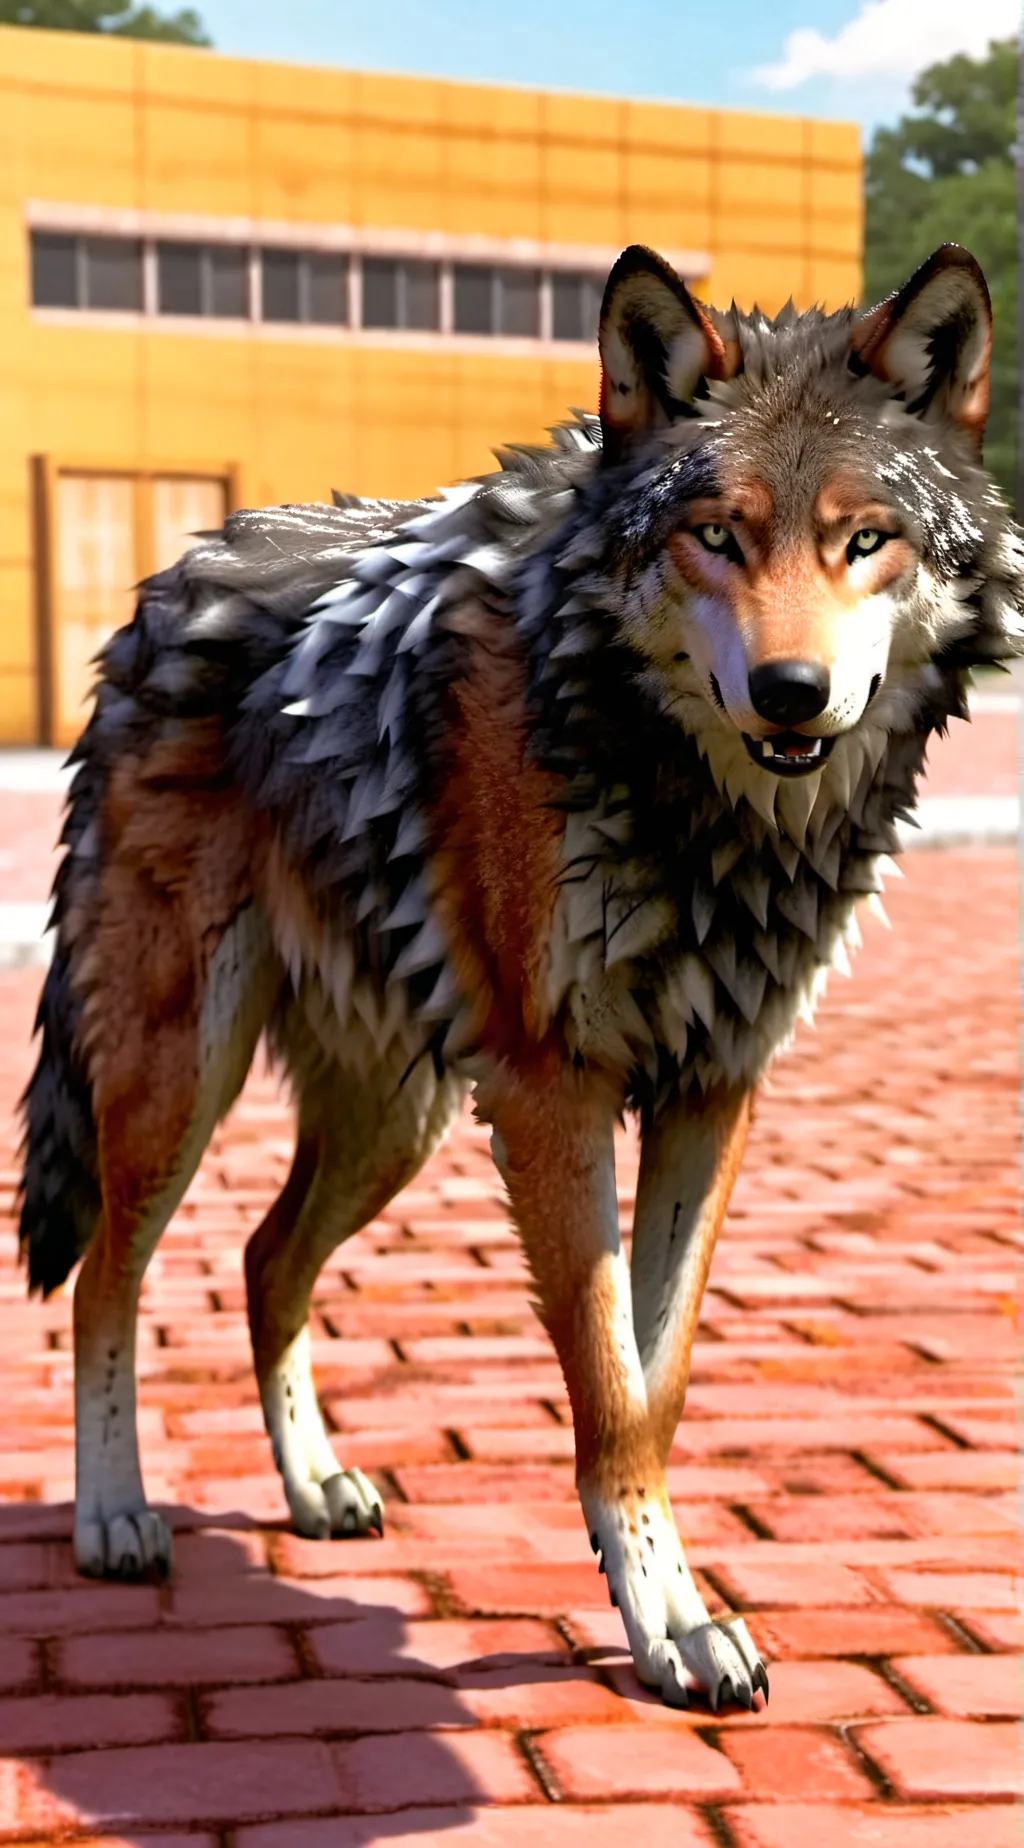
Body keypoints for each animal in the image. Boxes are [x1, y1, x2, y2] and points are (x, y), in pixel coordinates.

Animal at [19, 240, 1023, 1711]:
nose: (792, 692)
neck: (704, 818)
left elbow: (655, 1382)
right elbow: (603, 1386)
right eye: (715, 536)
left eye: (864, 540)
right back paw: (111, 1518)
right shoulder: (557, 1091)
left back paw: (314, 1488)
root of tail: (165, 593)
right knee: (105, 1278)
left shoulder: (713, 1090)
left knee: (264, 1260)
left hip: (398, 1118)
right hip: (179, 1079)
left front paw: (671, 1604)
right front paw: (666, 1625)